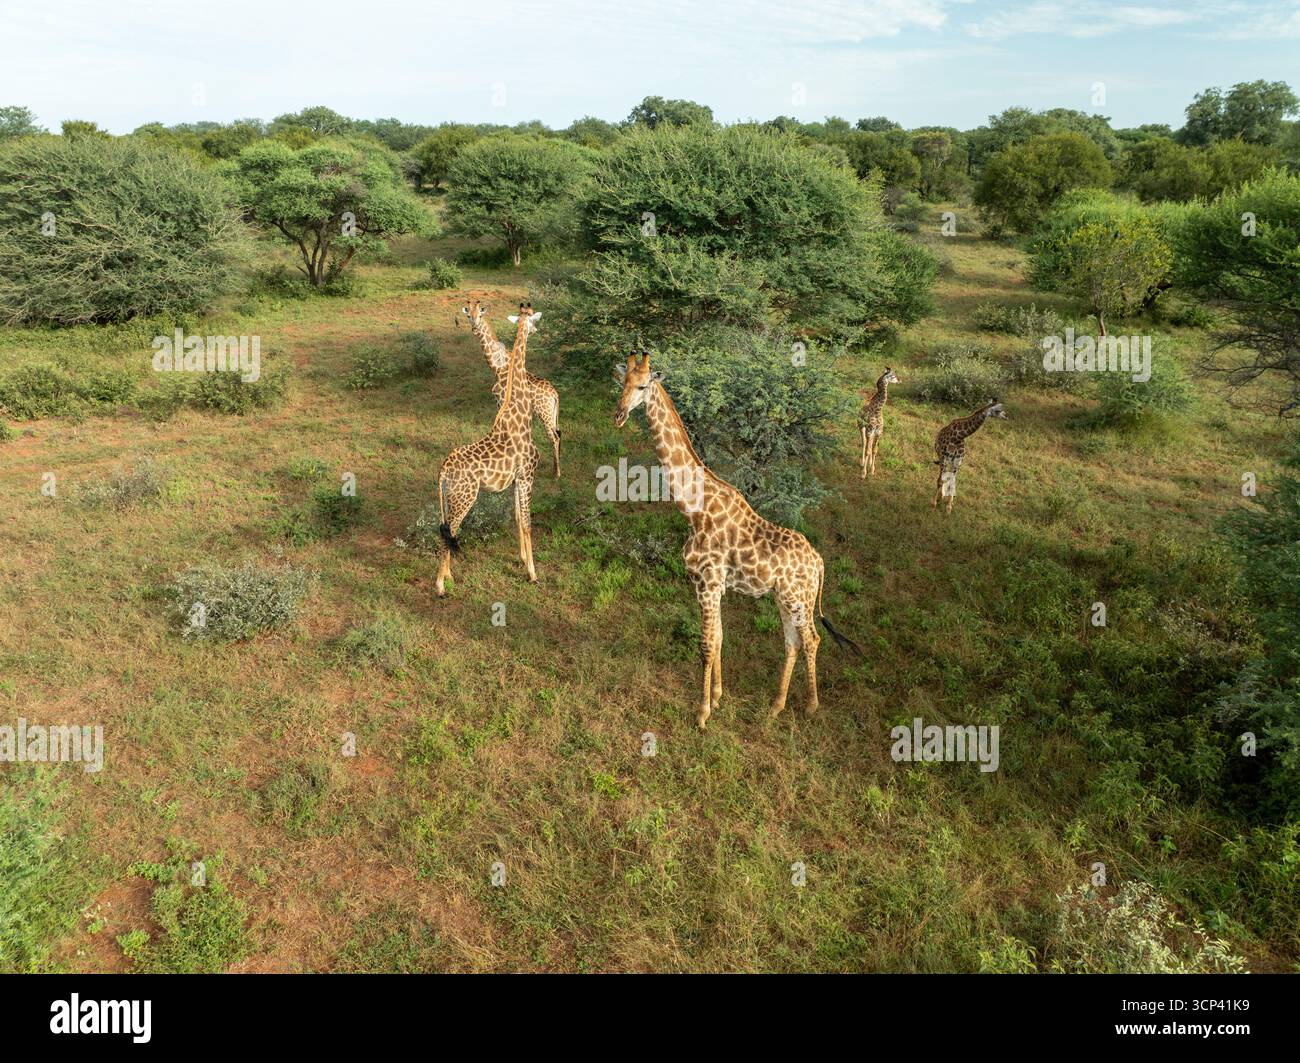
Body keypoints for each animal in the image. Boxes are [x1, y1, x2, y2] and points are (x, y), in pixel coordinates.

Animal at [435, 303, 542, 595]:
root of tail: (443, 471)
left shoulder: (517, 479)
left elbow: (517, 518)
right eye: (533, 321)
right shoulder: (527, 476)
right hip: (465, 497)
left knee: (447, 530)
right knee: (449, 530)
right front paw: (532, 573)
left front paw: (522, 559)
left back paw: (448, 576)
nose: (536, 330)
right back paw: (440, 586)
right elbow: (527, 523)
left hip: (449, 498)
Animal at [462, 299, 562, 477]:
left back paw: (556, 473)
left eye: (480, 315)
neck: (498, 366)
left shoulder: (500, 402)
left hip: (544, 414)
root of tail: (554, 395)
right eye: (468, 316)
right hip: (550, 414)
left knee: (554, 437)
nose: (474, 328)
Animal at [613, 350, 861, 730]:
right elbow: (718, 638)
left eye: (642, 386)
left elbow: (706, 643)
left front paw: (702, 713)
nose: (619, 415)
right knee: (792, 642)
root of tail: (819, 563)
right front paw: (717, 697)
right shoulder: (711, 585)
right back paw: (776, 705)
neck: (694, 509)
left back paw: (811, 706)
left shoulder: (708, 582)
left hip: (798, 599)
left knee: (811, 639)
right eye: (621, 383)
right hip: (783, 598)